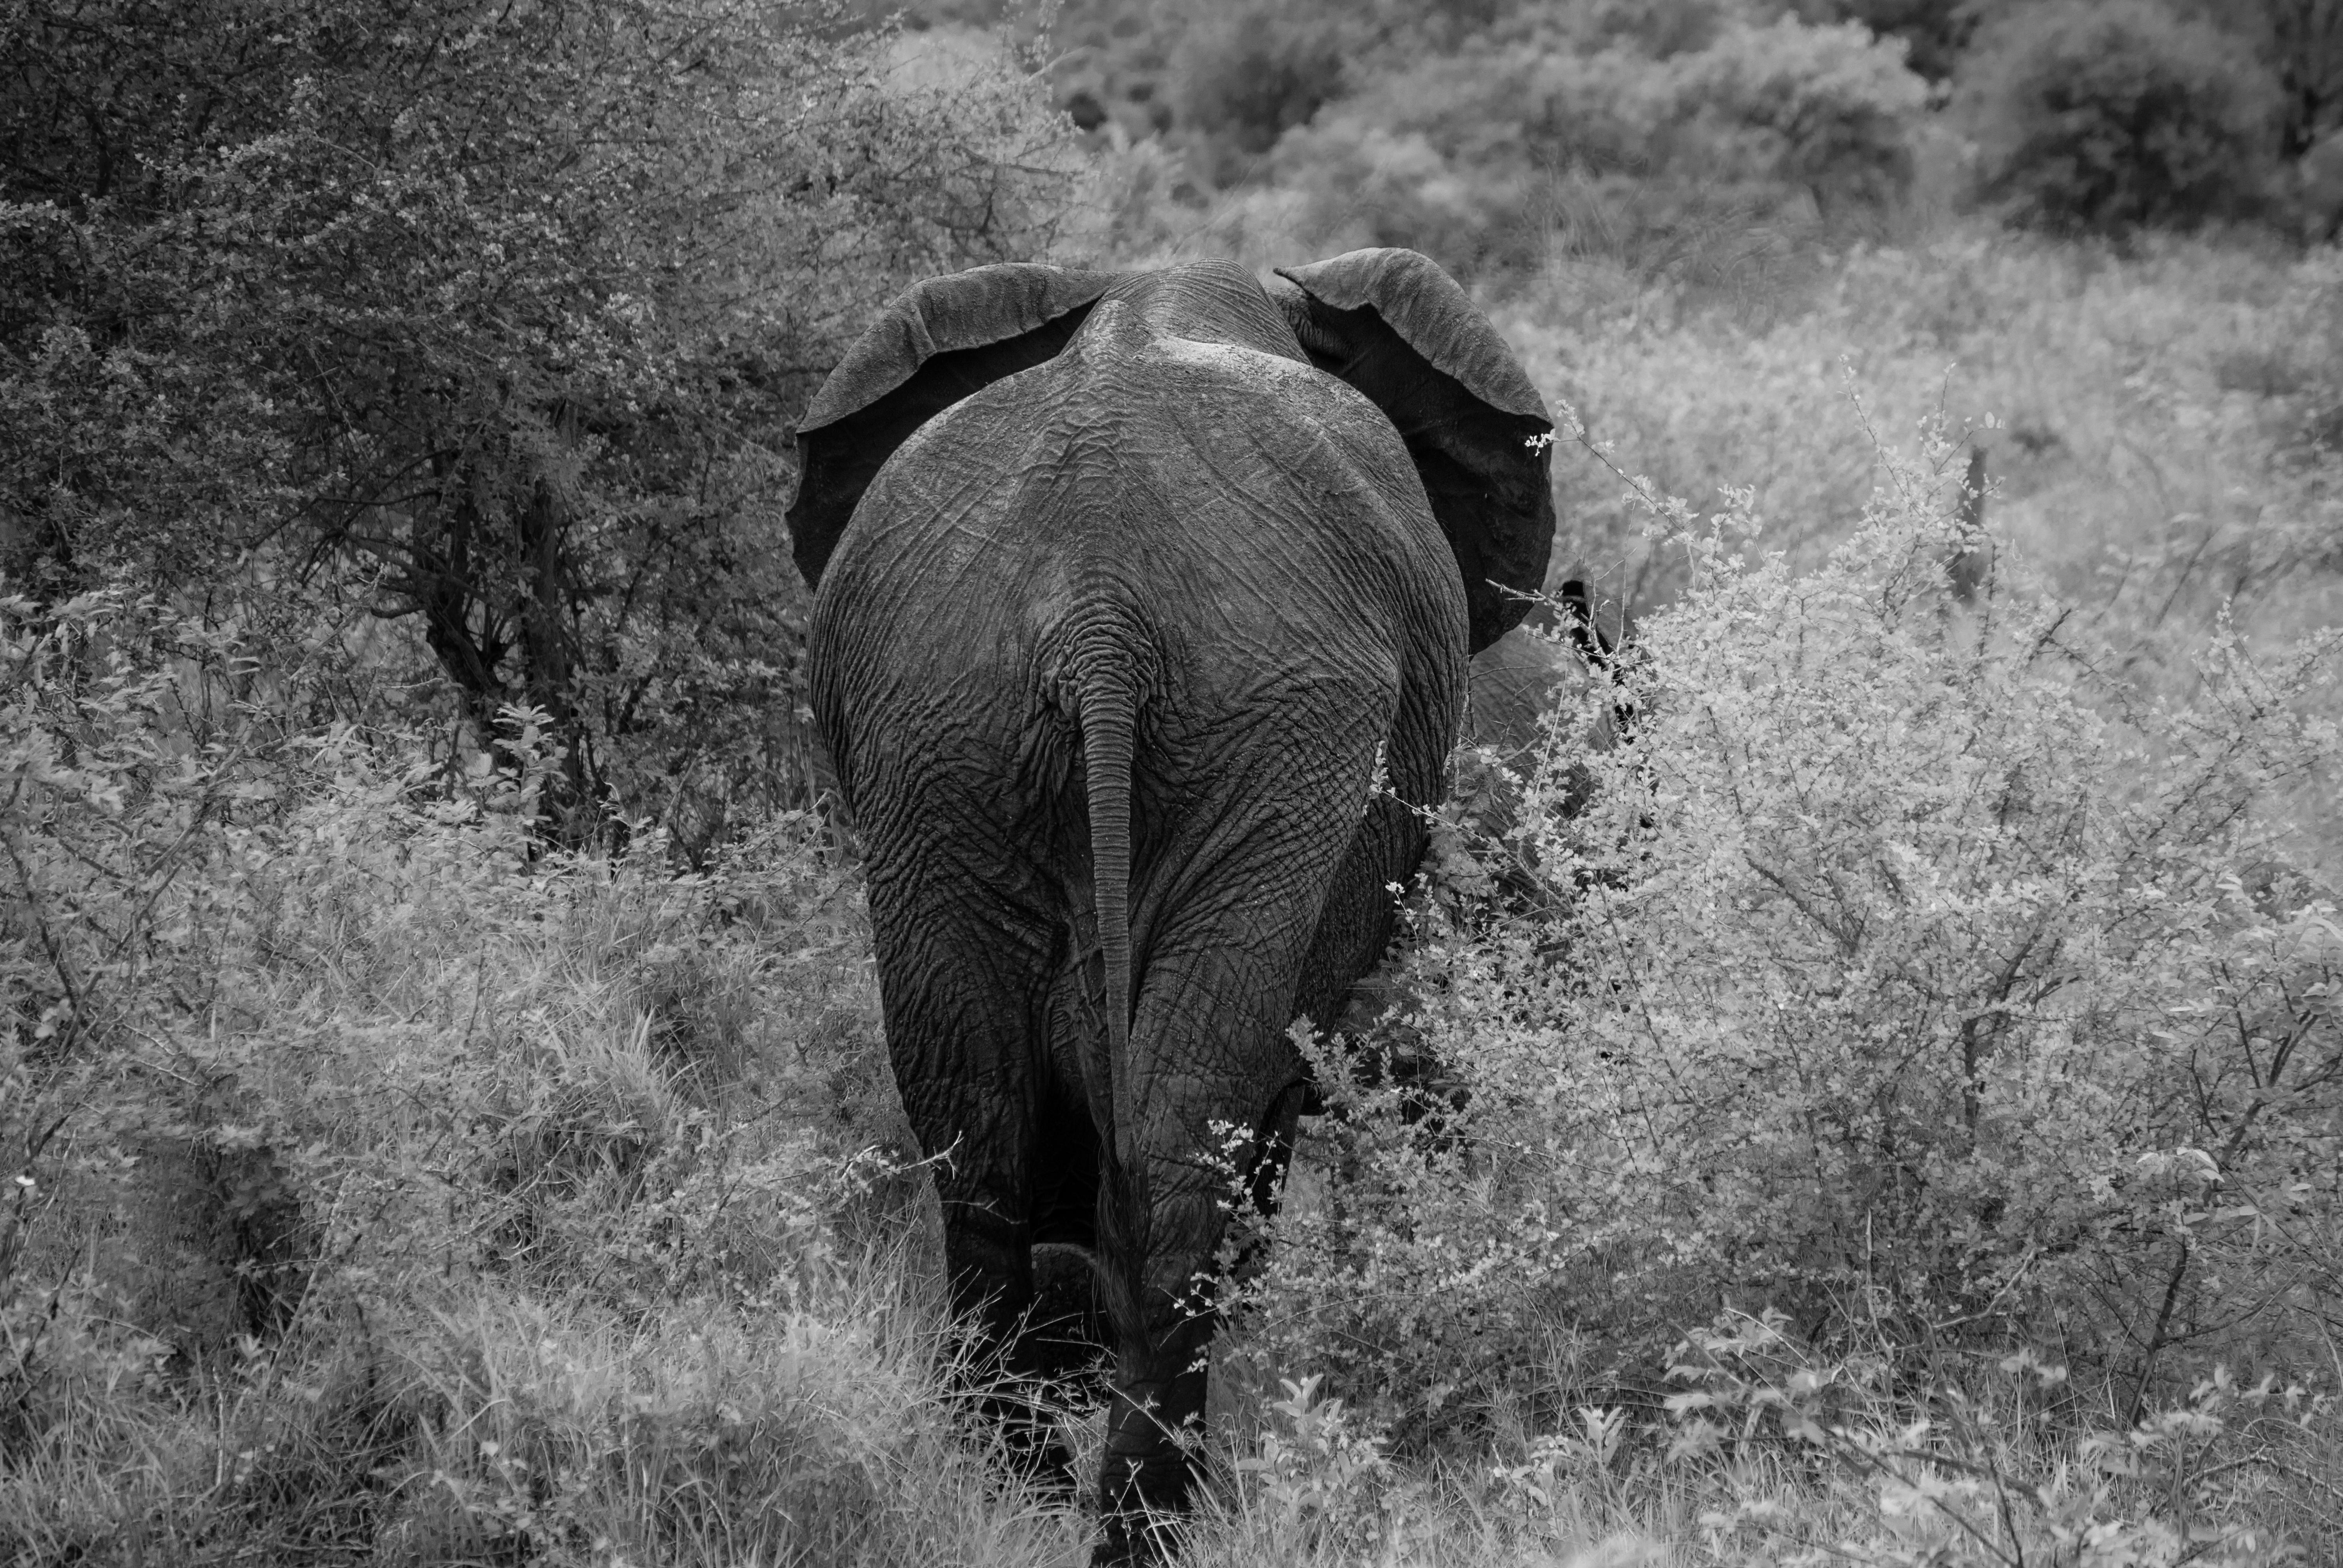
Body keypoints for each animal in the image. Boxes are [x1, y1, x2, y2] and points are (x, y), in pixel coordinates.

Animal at [785, 249, 1554, 1560]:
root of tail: (1097, 616)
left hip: (943, 739)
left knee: (978, 1125)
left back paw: (1017, 1487)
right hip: (1274, 743)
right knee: (1183, 1136)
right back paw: (1150, 1519)